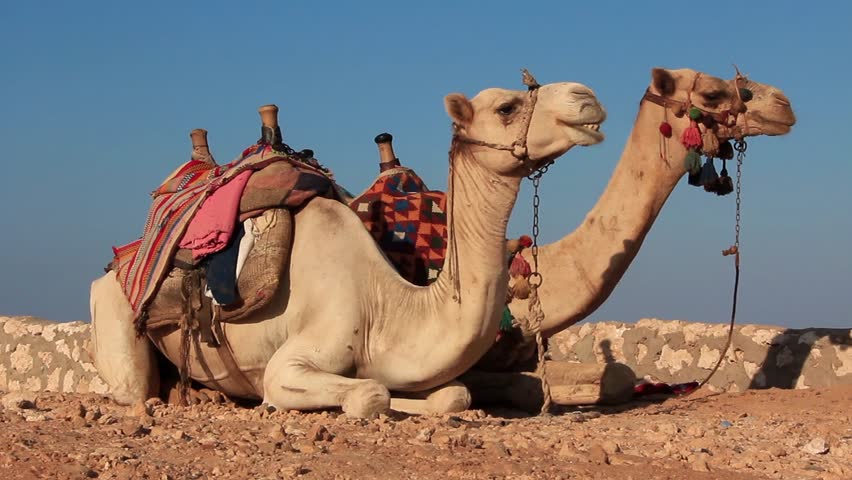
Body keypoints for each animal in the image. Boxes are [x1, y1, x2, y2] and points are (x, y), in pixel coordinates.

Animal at [89, 74, 607, 418]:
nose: (587, 96)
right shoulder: (290, 362)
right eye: (506, 107)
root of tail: (120, 261)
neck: (384, 308)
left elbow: (449, 394)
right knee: (134, 390)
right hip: (114, 311)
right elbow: (367, 394)